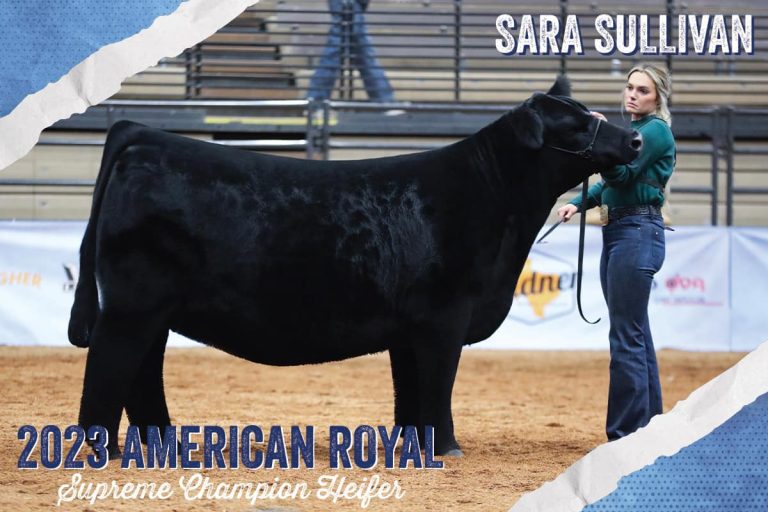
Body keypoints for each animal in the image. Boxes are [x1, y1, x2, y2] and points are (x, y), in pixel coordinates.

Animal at [68, 76, 641, 458]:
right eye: (577, 123)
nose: (635, 139)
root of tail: (142, 135)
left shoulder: (409, 328)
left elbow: (410, 391)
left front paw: (414, 446)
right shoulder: (443, 317)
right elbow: (438, 384)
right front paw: (448, 448)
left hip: (155, 311)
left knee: (143, 372)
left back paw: (164, 444)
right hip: (132, 305)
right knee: (111, 365)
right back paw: (105, 451)